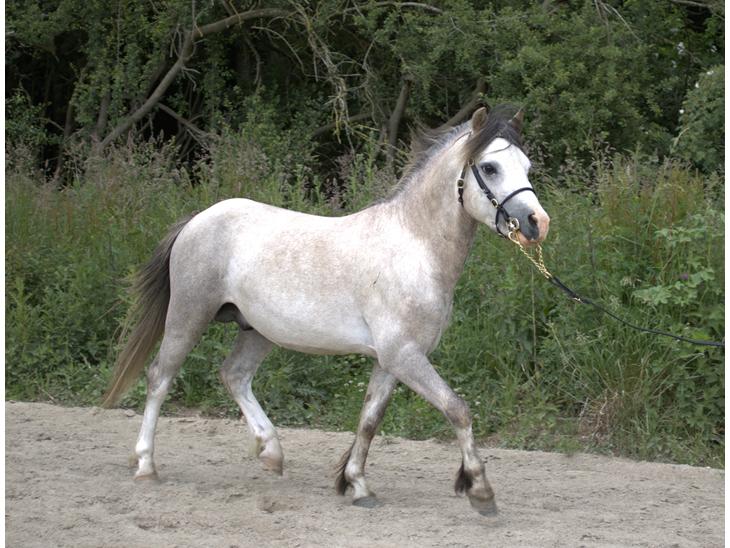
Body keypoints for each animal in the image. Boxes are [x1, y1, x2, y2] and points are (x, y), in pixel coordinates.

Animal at [102, 105, 550, 516]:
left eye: (526, 166)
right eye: (490, 167)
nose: (537, 223)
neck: (414, 248)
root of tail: (199, 218)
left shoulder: (392, 361)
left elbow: (369, 420)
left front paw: (358, 486)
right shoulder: (404, 356)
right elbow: (457, 409)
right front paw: (480, 490)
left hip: (256, 330)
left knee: (234, 375)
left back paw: (272, 453)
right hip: (188, 316)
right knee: (160, 377)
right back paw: (146, 465)